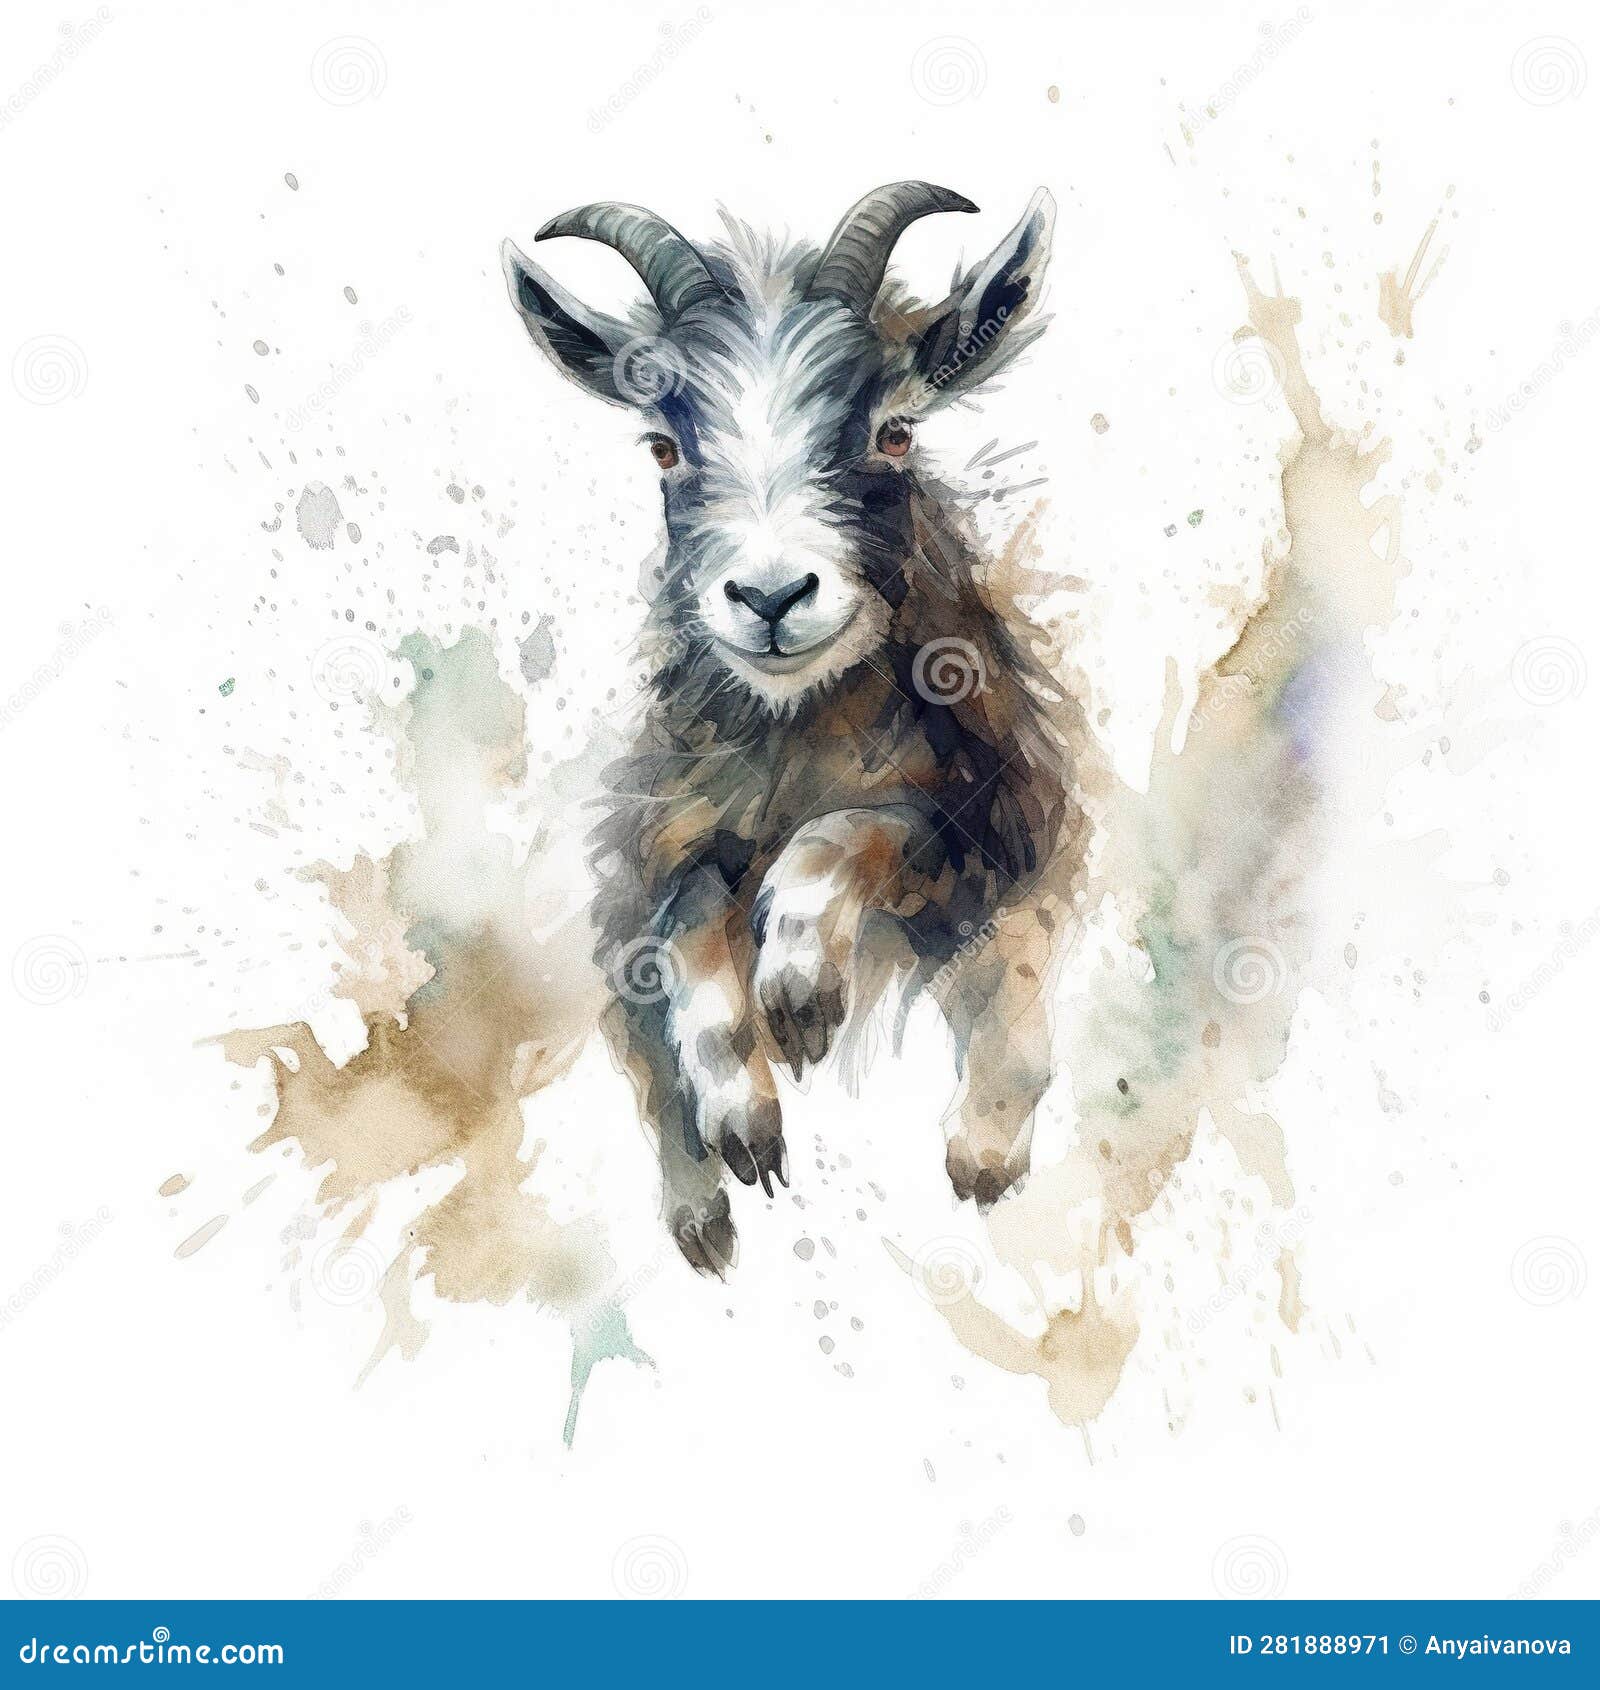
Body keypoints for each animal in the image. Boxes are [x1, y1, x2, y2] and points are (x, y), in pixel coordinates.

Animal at [502, 183, 1084, 1274]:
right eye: (664, 447)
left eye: (894, 432)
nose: (771, 598)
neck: (802, 734)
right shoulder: (666, 842)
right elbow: (686, 923)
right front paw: (745, 1119)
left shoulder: (991, 829)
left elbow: (865, 826)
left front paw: (801, 991)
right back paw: (703, 1221)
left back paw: (981, 1151)